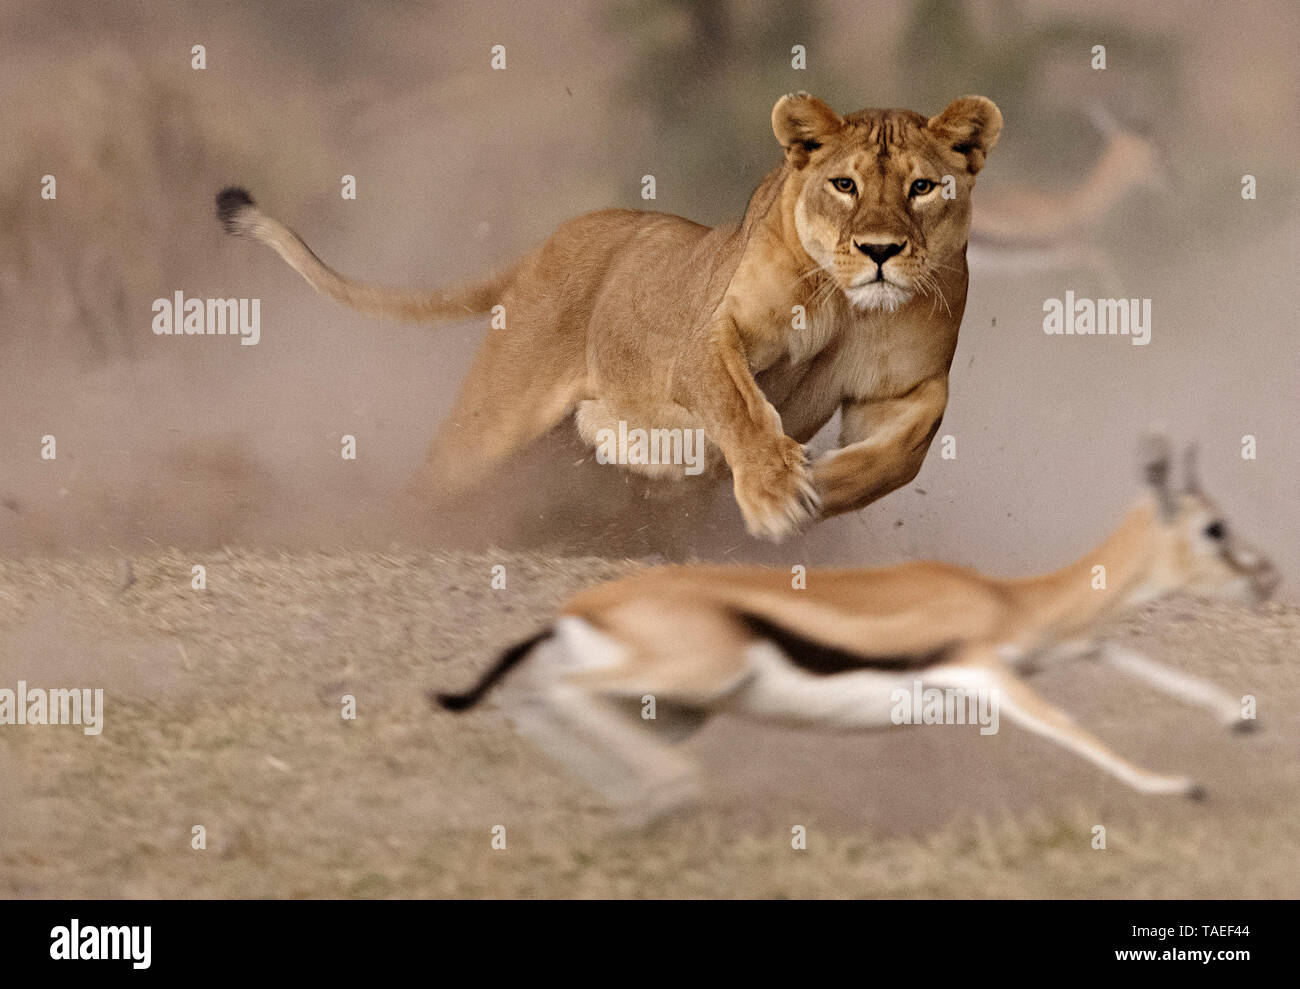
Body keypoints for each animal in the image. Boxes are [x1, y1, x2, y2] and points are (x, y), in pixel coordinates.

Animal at [216, 92, 1001, 540]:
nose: (879, 250)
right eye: (843, 184)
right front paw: (777, 488)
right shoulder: (712, 335)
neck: (848, 304)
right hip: (489, 427)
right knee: (432, 484)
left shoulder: (906, 388)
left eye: (923, 187)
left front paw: (819, 486)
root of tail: (553, 239)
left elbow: (901, 453)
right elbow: (741, 407)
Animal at [434, 436, 1278, 821]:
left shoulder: (1056, 646)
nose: (1267, 576)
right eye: (1213, 527)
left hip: (672, 708)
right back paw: (664, 795)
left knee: (537, 697)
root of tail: (577, 609)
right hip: (690, 681)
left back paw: (642, 806)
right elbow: (1075, 728)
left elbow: (1126, 655)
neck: (1007, 600)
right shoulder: (986, 671)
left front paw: (1240, 717)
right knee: (552, 691)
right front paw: (1181, 784)